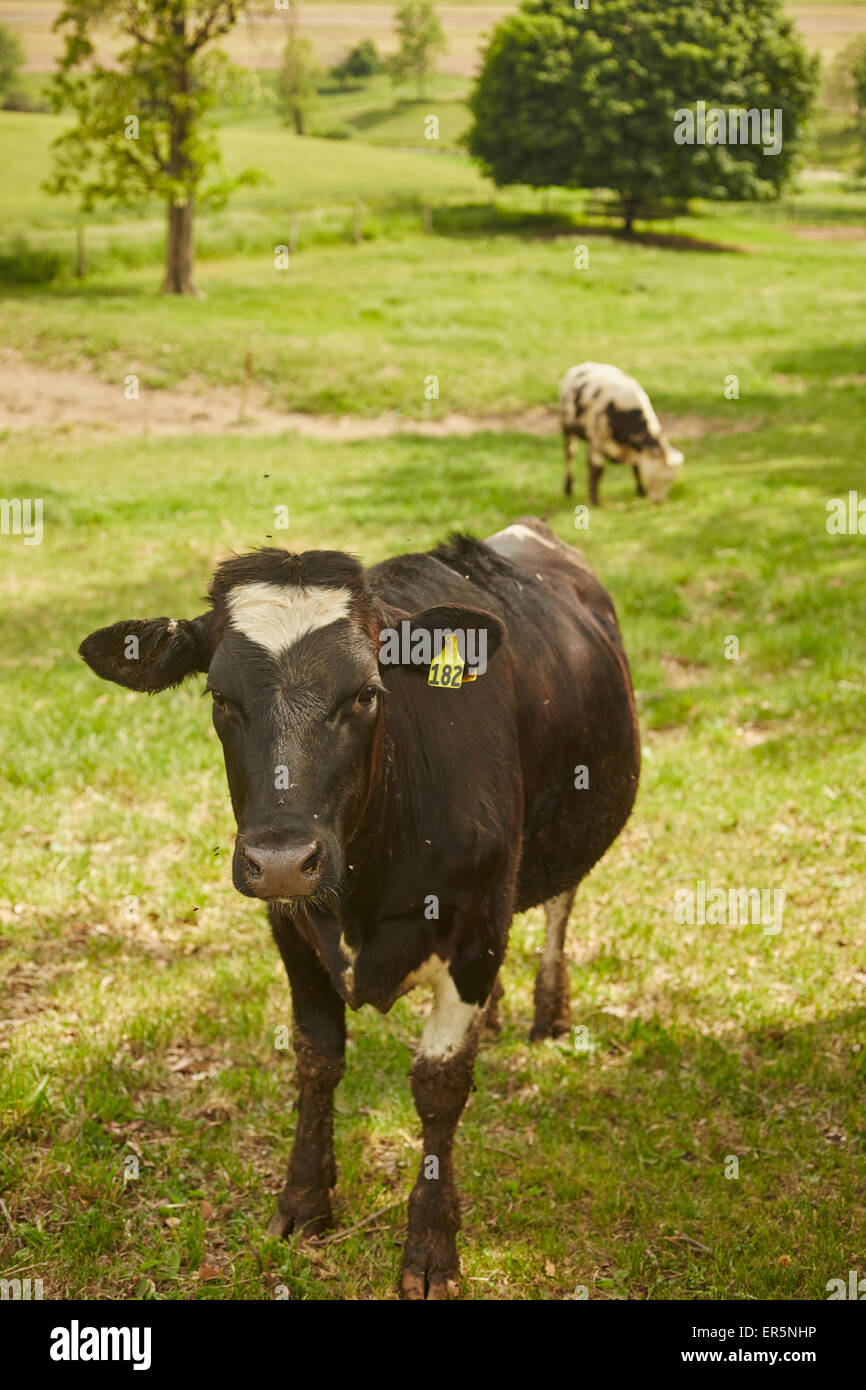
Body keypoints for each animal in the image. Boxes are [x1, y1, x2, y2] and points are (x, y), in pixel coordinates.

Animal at [78, 516, 640, 1299]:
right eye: (220, 698)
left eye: (368, 694)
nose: (284, 857)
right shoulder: (288, 922)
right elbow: (317, 1058)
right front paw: (304, 1202)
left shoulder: (478, 922)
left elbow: (440, 1084)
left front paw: (431, 1244)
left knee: (560, 903)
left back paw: (549, 1011)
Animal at [559, 362, 684, 506]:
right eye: (663, 478)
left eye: (671, 479)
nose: (659, 501)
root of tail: (583, 365)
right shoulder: (597, 439)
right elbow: (597, 469)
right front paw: (594, 500)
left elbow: (636, 467)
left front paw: (641, 491)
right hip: (567, 428)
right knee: (570, 454)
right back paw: (568, 489)